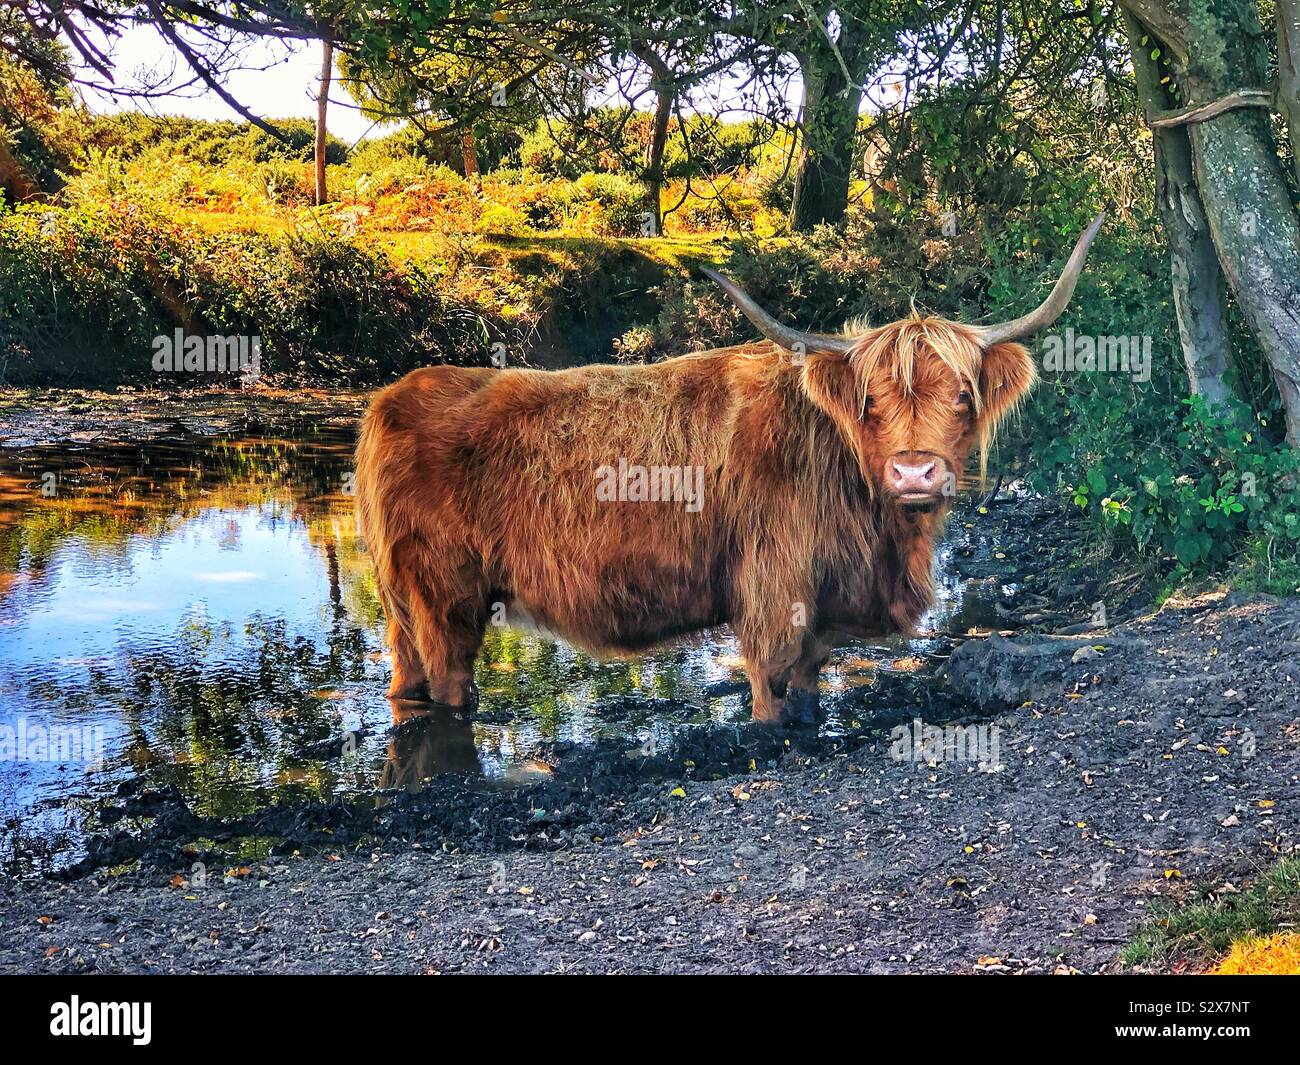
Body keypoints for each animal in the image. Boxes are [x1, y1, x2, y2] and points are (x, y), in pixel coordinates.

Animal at [356, 214, 1103, 724]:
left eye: (962, 395)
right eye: (870, 402)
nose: (915, 473)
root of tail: (390, 398)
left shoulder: (818, 605)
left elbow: (810, 679)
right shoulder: (772, 592)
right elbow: (769, 687)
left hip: (404, 609)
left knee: (408, 680)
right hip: (445, 598)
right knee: (450, 682)